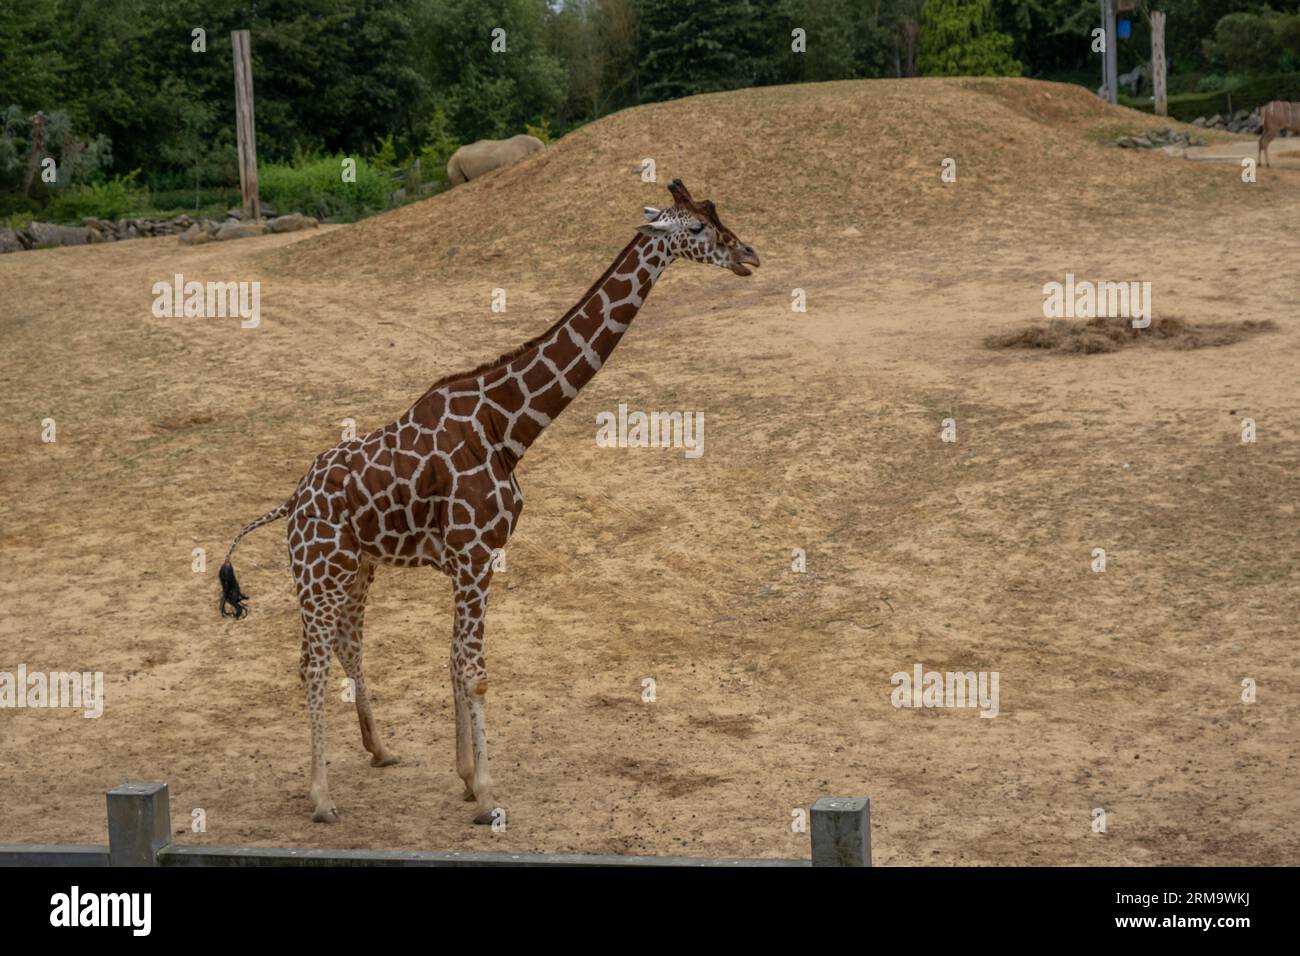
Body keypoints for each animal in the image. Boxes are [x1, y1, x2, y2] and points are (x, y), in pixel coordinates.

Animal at [217, 179, 759, 825]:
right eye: (697, 229)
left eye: (717, 216)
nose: (749, 254)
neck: (509, 427)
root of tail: (290, 501)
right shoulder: (476, 556)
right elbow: (473, 670)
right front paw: (488, 796)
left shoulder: (471, 560)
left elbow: (455, 660)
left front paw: (465, 778)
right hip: (316, 570)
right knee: (312, 662)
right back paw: (322, 798)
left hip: (357, 568)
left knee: (348, 644)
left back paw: (380, 750)